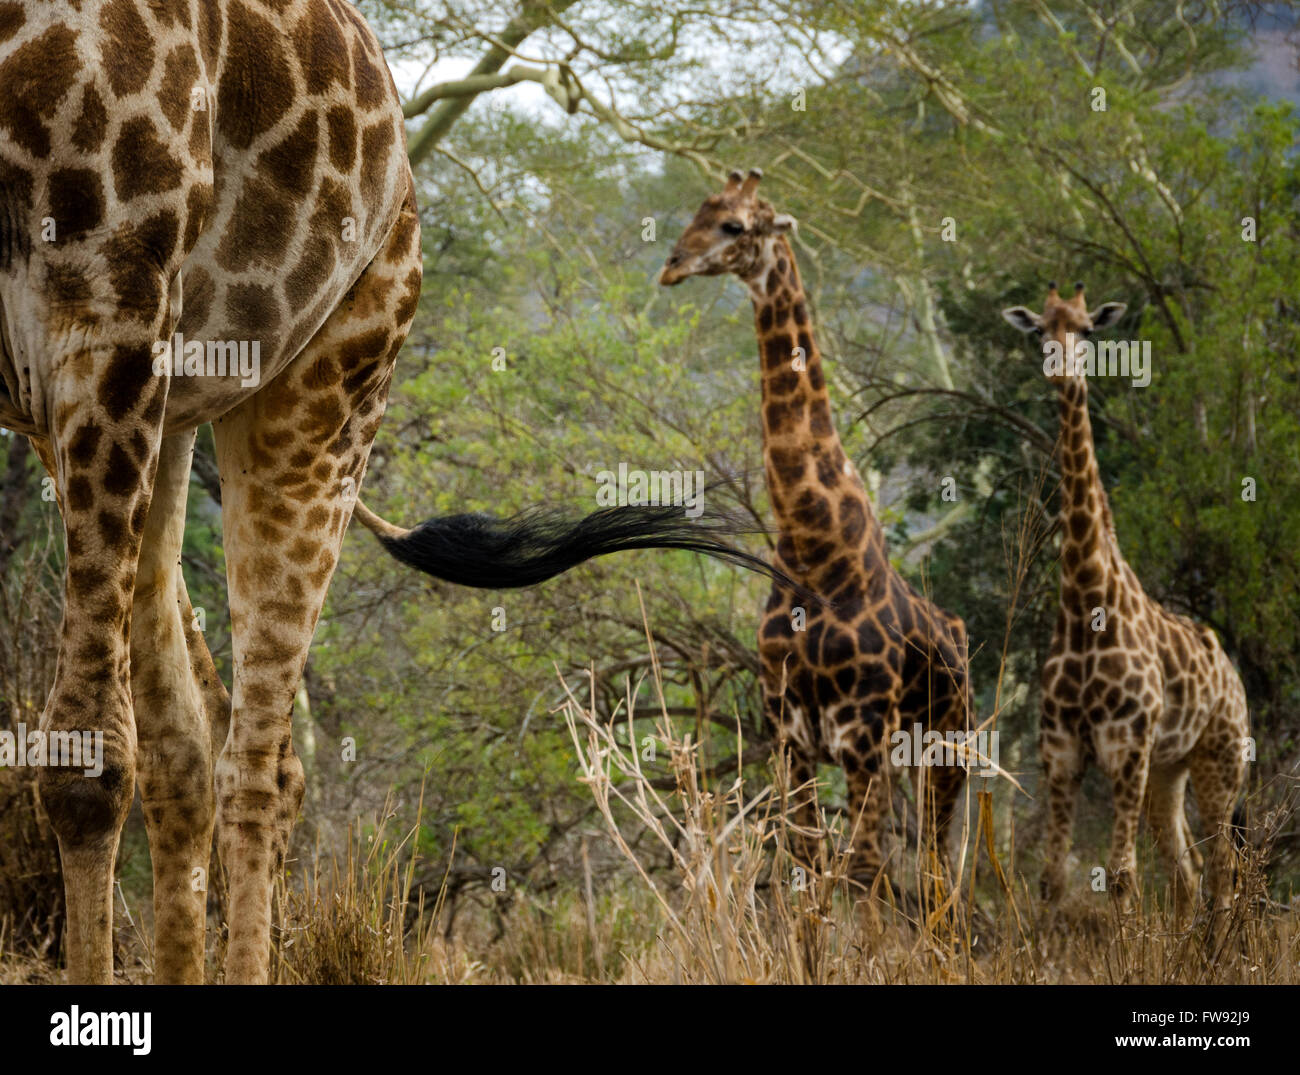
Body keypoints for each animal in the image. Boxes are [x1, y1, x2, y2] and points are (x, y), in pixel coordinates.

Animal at [0, 0, 781, 985]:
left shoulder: (108, 300)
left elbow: (88, 762)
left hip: (326, 382)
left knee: (258, 762)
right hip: (169, 404)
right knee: (189, 739)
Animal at [659, 170, 972, 891]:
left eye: (735, 225)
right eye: (698, 210)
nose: (672, 265)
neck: (812, 541)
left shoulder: (861, 737)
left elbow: (861, 868)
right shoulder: (790, 738)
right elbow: (806, 861)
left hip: (948, 745)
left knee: (937, 867)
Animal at [1002, 283, 1249, 917]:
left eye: (1089, 329)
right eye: (1040, 330)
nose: (1062, 369)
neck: (1085, 597)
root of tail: (1233, 675)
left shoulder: (1126, 748)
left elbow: (1120, 879)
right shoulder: (1062, 752)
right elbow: (1052, 879)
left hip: (1220, 760)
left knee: (1225, 872)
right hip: (1170, 769)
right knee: (1189, 874)